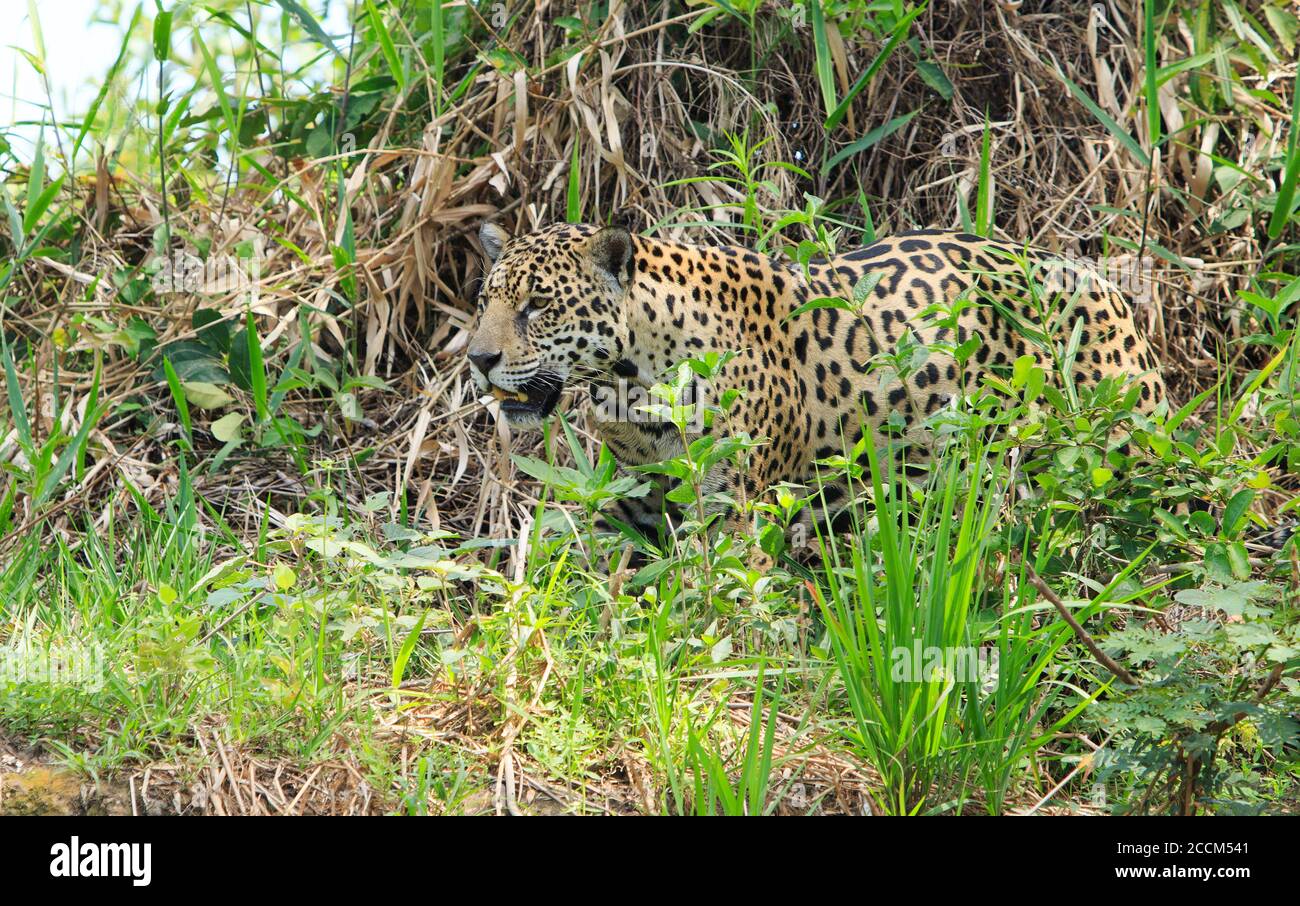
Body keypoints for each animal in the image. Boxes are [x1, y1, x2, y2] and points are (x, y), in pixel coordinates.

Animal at [465, 220, 1166, 560]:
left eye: (538, 306)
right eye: (485, 301)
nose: (477, 358)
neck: (631, 384)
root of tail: (1096, 277)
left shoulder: (731, 509)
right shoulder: (638, 502)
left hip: (1123, 449)